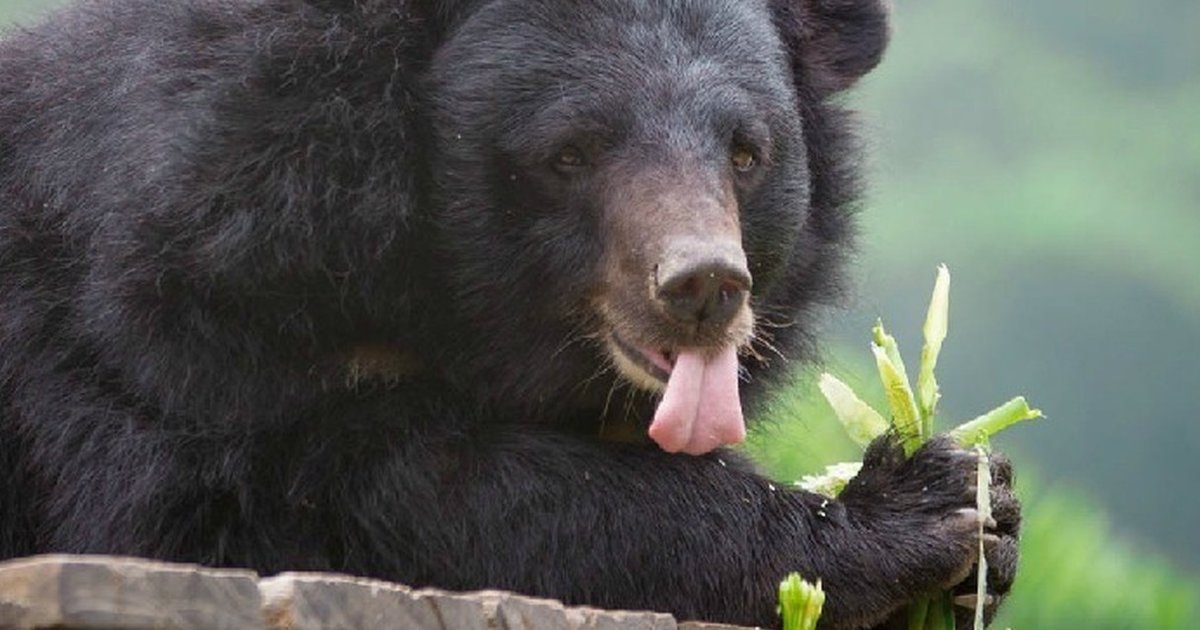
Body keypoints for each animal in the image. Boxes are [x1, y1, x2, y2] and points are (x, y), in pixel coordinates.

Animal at [0, 0, 1020, 628]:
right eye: (570, 153)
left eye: (746, 153)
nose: (703, 288)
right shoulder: (164, 337)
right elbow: (347, 496)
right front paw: (911, 510)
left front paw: (988, 517)